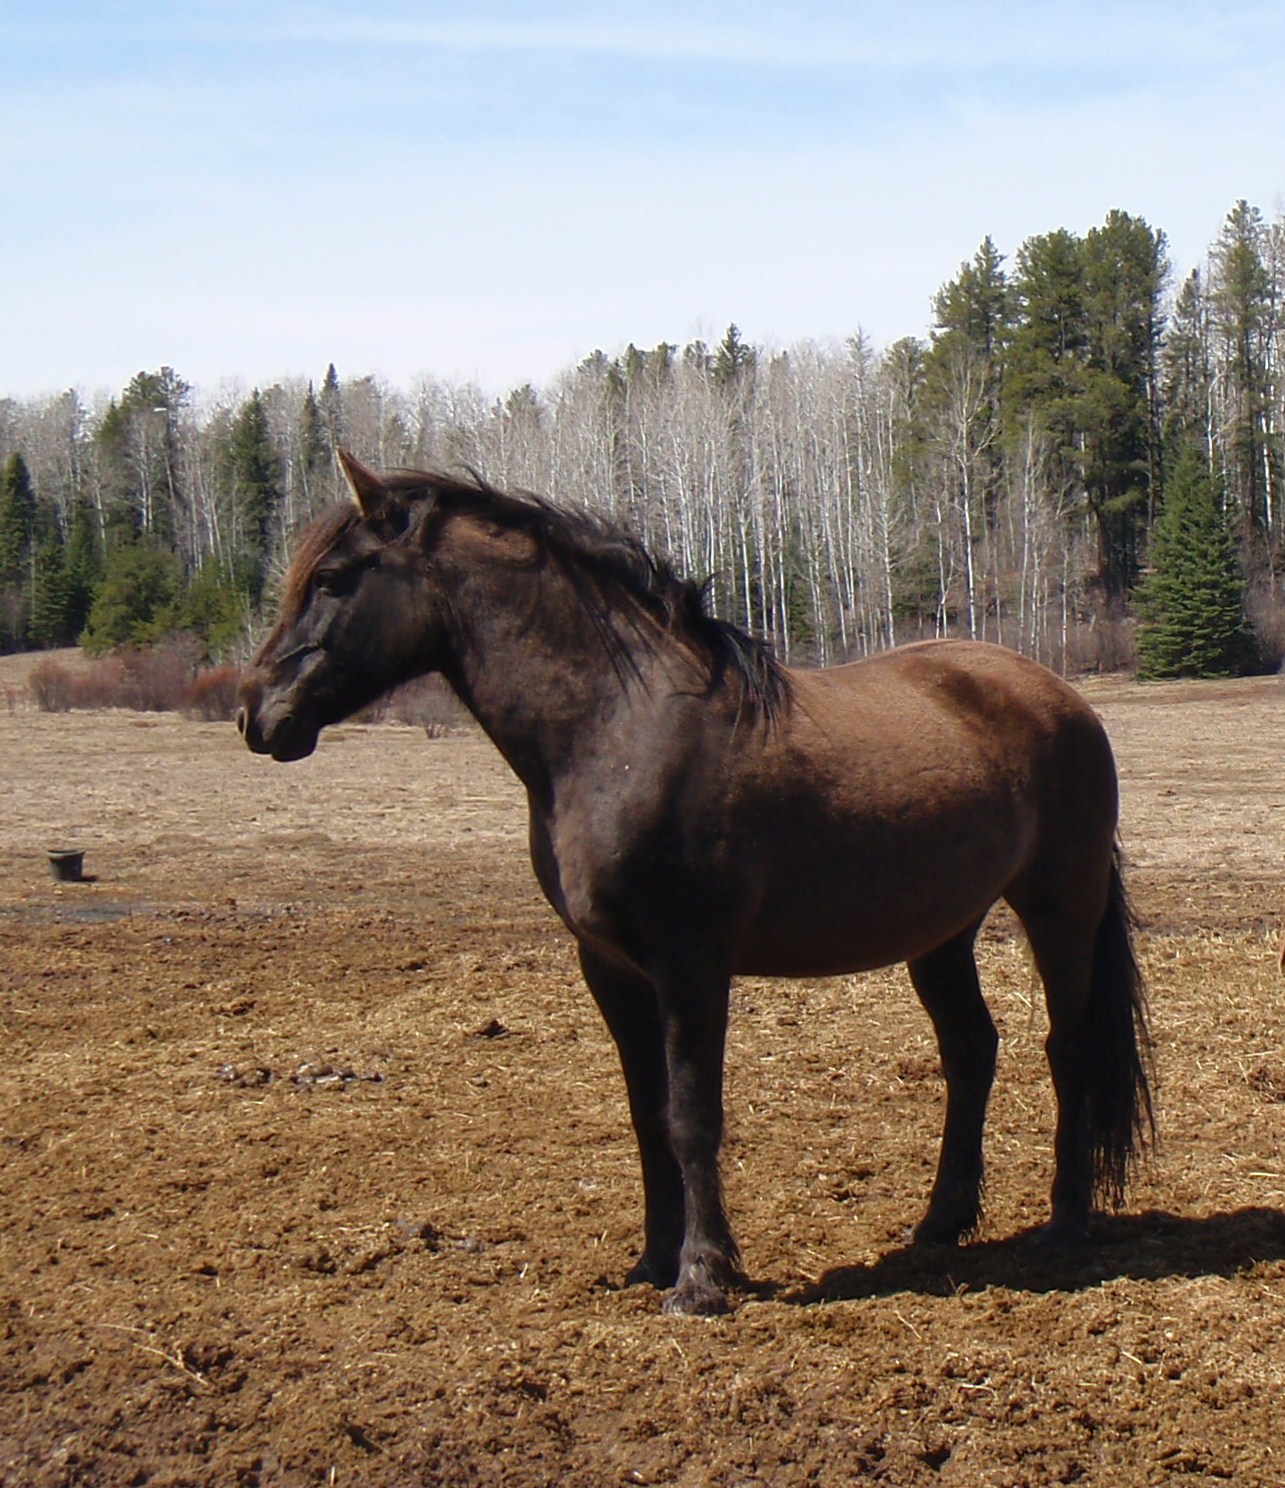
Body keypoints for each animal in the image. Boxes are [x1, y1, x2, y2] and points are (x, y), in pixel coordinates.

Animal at [237, 450, 1153, 1316]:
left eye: (331, 579)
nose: (256, 712)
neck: (617, 731)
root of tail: (1058, 695)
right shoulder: (608, 967)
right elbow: (646, 1115)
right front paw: (652, 1261)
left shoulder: (690, 963)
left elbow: (690, 1114)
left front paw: (703, 1278)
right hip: (940, 933)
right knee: (970, 1051)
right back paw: (939, 1222)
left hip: (1058, 906)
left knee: (1066, 1047)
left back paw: (1066, 1222)